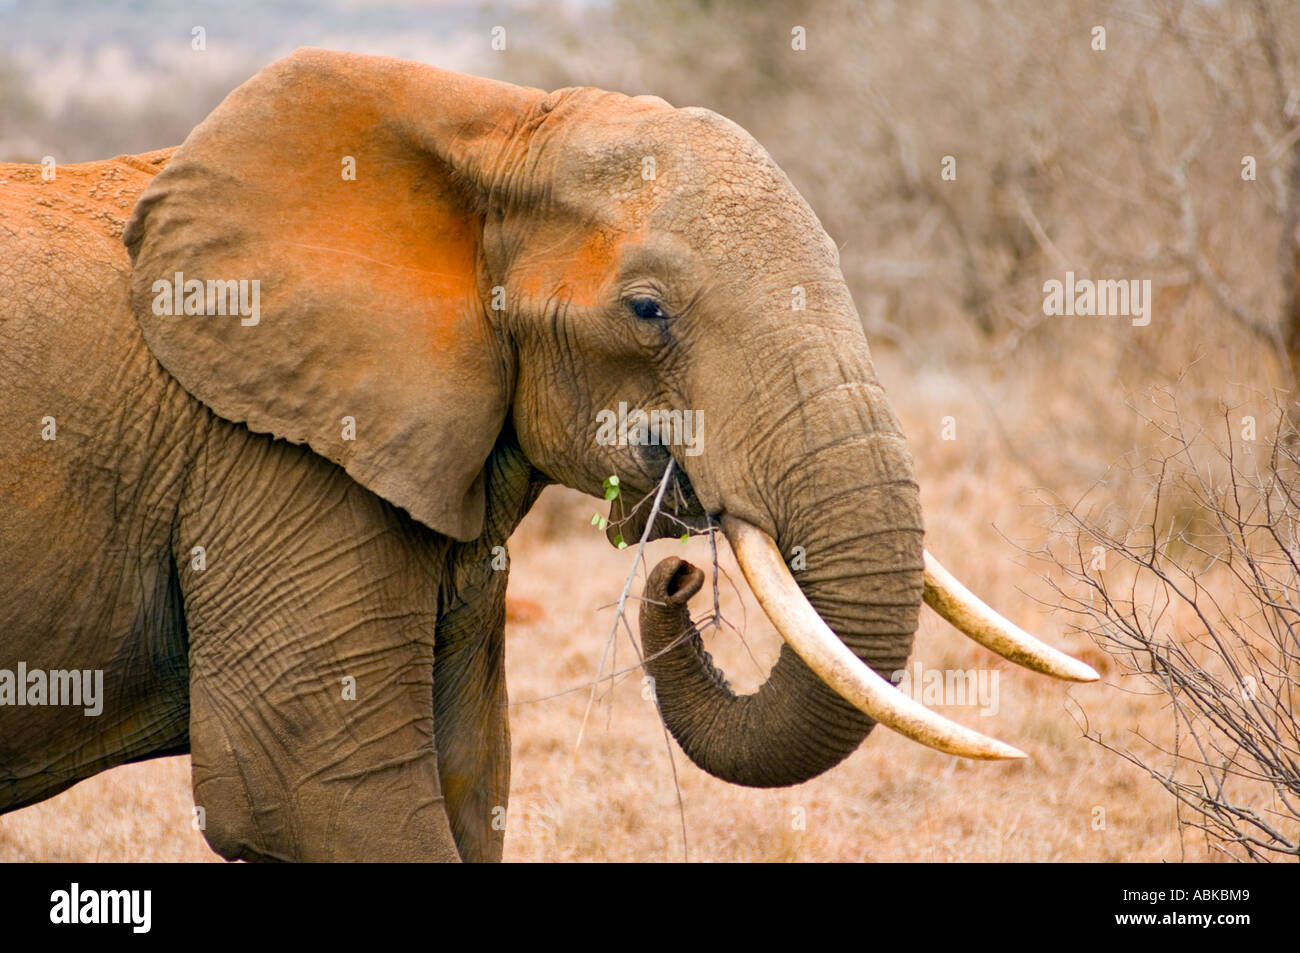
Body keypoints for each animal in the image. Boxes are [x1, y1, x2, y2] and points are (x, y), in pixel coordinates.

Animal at [0, 48, 1096, 861]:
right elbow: (308, 787)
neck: (495, 126)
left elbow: (469, 774)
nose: (677, 576)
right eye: (647, 310)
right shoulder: (266, 453)